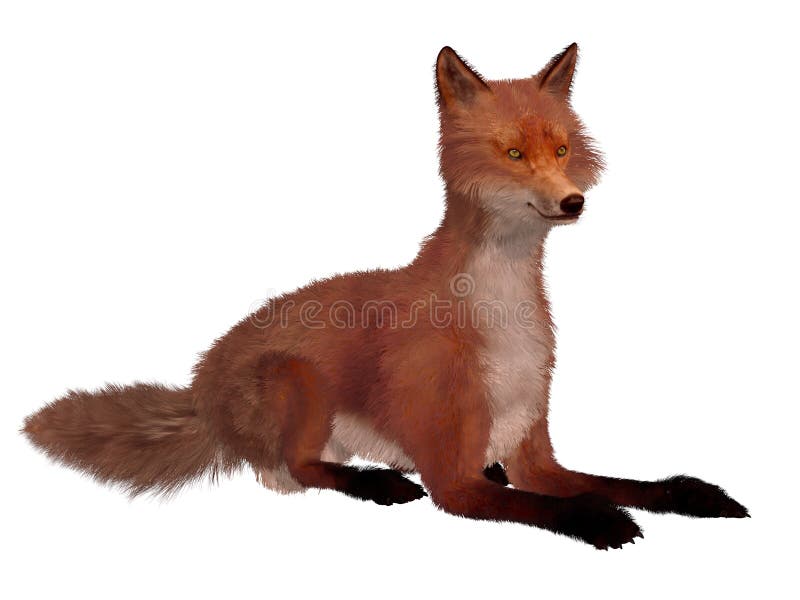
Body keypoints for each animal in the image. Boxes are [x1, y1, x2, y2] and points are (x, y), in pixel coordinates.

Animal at [23, 44, 748, 549]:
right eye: (513, 154)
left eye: (563, 149)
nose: (573, 202)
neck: (501, 320)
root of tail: (200, 389)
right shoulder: (452, 478)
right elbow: (553, 505)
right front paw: (603, 522)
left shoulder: (535, 453)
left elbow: (620, 483)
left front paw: (696, 494)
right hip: (297, 379)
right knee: (297, 470)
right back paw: (376, 483)